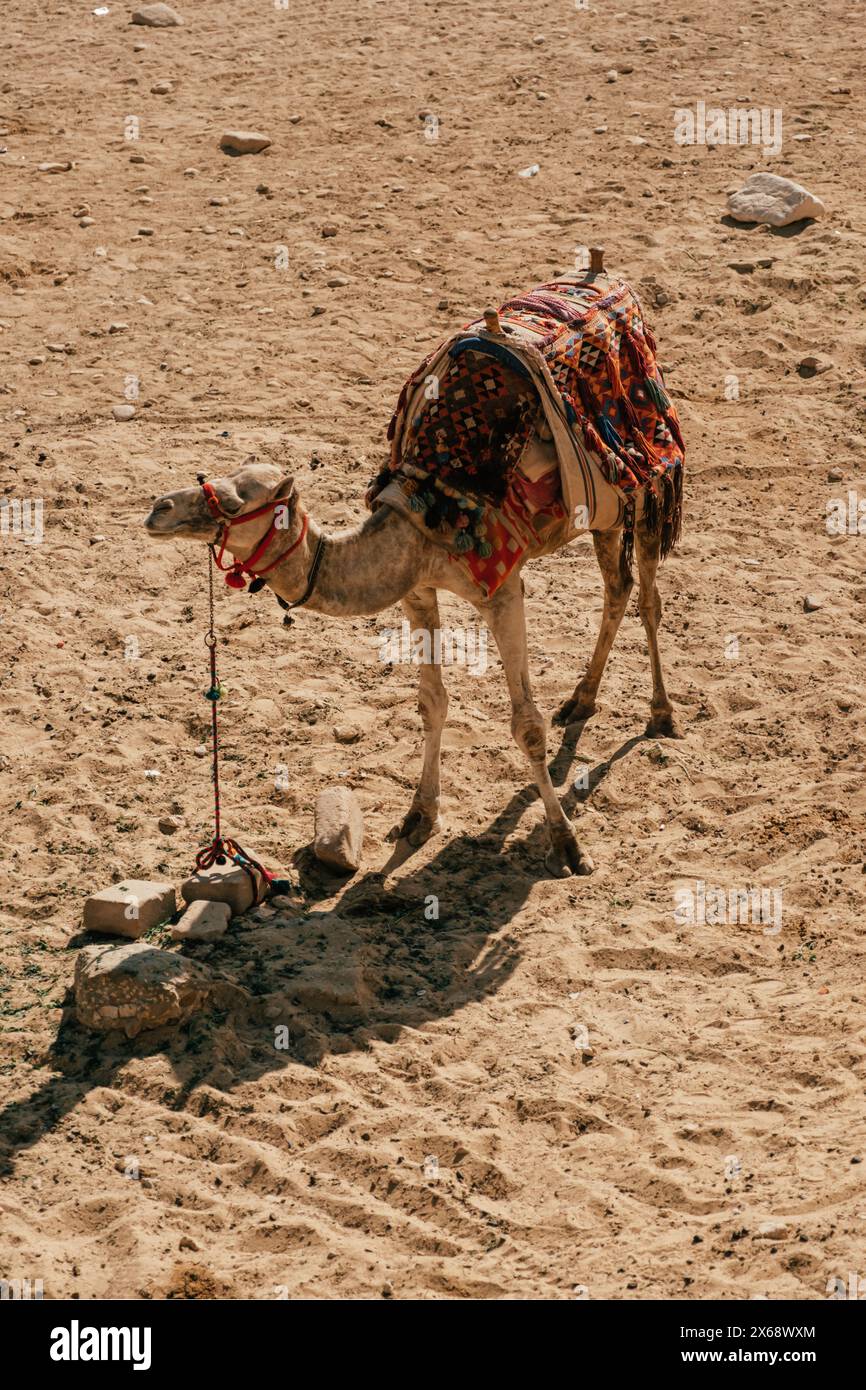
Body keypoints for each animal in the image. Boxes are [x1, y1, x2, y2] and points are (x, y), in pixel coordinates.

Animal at [144, 458, 680, 878]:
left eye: (235, 502)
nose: (158, 509)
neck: (414, 530)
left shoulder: (502, 589)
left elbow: (526, 725)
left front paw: (567, 846)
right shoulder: (417, 590)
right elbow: (432, 703)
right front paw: (419, 816)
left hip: (648, 493)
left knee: (649, 597)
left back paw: (662, 714)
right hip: (606, 515)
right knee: (618, 586)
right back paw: (580, 700)